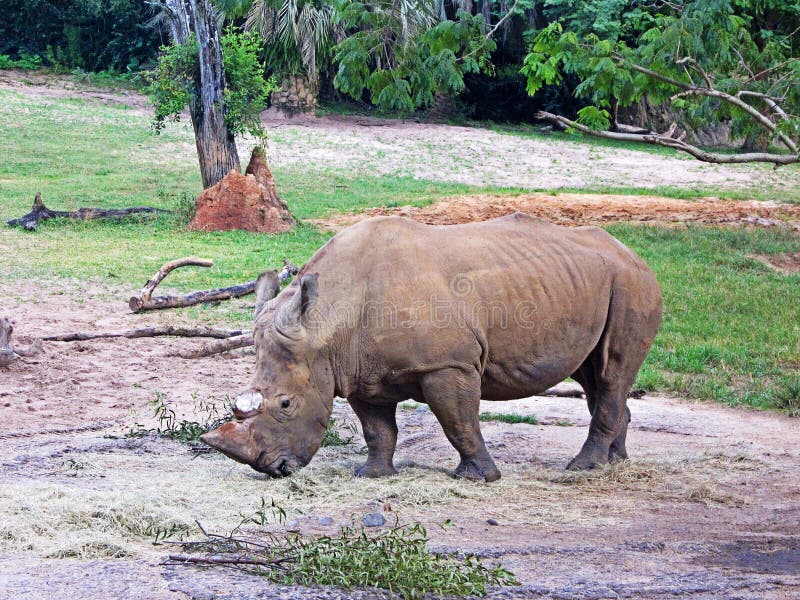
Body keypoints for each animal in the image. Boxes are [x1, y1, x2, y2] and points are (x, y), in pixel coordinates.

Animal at [201, 214, 662, 481]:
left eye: (285, 405)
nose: (273, 469)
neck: (326, 322)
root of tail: (634, 254)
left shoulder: (447, 364)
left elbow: (459, 422)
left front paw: (477, 478)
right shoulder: (355, 370)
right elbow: (377, 429)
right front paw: (371, 475)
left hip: (631, 283)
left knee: (611, 370)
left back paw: (582, 469)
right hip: (593, 282)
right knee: (594, 376)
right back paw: (615, 463)